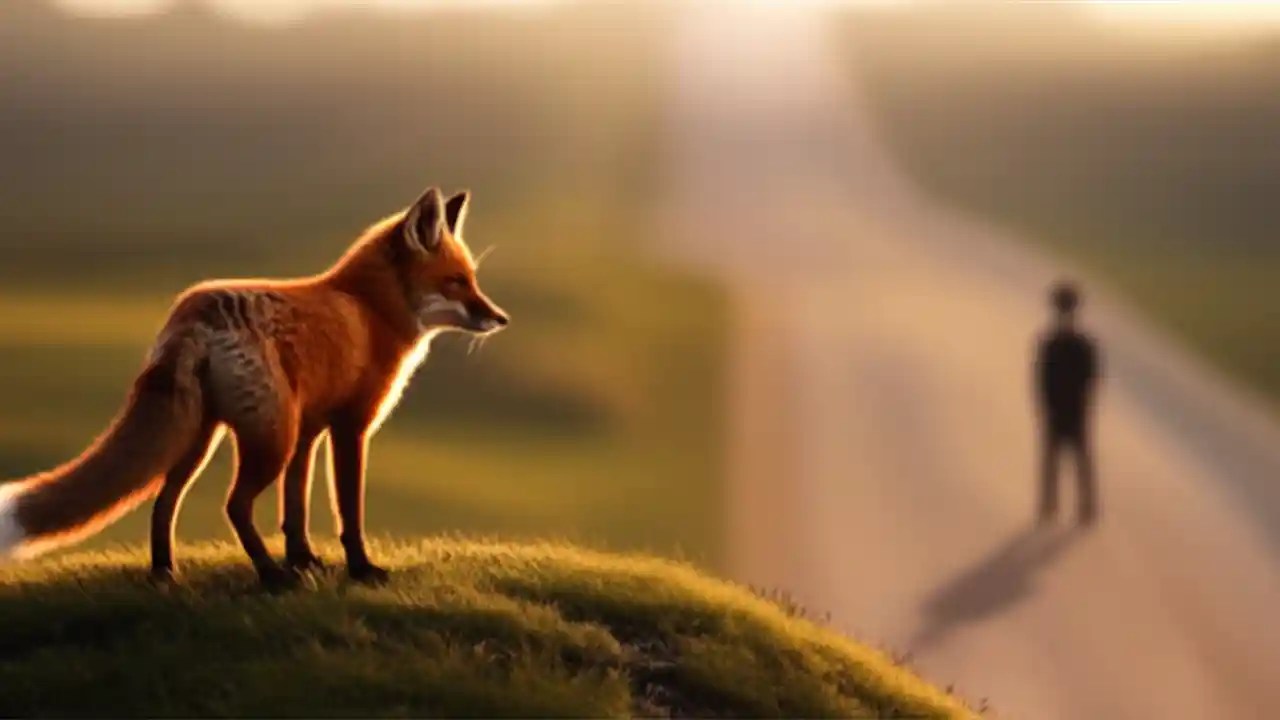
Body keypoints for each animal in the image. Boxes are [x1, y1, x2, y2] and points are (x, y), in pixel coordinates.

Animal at [0, 186, 507, 588]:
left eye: (473, 281)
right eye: (457, 282)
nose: (501, 319)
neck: (367, 310)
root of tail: (193, 314)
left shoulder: (309, 430)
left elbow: (295, 510)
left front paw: (306, 560)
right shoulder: (350, 428)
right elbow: (349, 512)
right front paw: (359, 570)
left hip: (203, 438)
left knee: (164, 501)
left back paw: (166, 573)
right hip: (268, 438)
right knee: (234, 505)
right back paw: (270, 575)